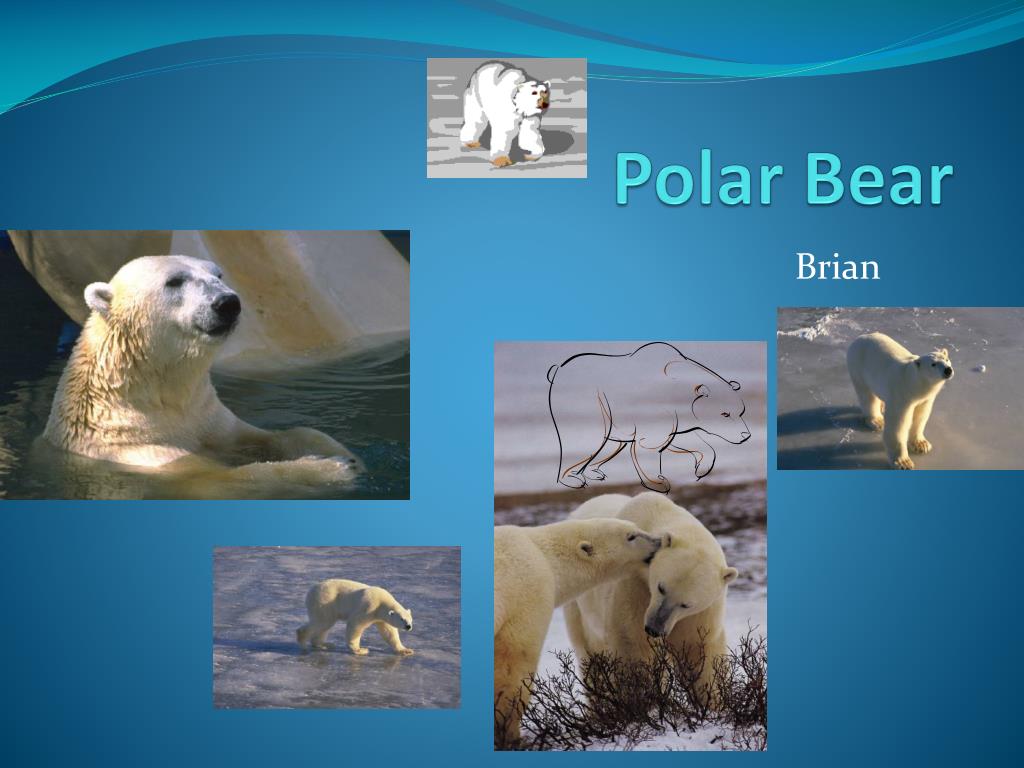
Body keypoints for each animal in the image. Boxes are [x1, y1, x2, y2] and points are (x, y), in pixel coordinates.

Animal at [42, 255, 362, 485]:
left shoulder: (208, 418)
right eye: (174, 281)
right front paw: (331, 468)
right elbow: (228, 478)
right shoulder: (136, 451)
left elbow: (270, 435)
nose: (227, 303)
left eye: (218, 274)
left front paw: (346, 454)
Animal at [493, 518, 663, 745]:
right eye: (631, 536)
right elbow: (511, 667)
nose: (659, 541)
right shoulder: (527, 598)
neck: (543, 553)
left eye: (635, 527)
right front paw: (511, 736)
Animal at [547, 342, 751, 492]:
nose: (746, 435)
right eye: (724, 413)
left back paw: (595, 472)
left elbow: (683, 440)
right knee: (591, 439)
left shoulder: (679, 420)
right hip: (595, 401)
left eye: (740, 411)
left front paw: (701, 469)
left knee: (611, 443)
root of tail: (558, 369)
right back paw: (573, 479)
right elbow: (650, 445)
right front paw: (659, 483)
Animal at [563, 492, 738, 706]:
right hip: (579, 606)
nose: (654, 628)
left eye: (686, 604)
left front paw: (712, 703)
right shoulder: (633, 583)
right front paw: (641, 701)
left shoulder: (703, 611)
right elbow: (634, 642)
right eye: (661, 587)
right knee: (591, 656)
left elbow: (697, 647)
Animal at [847, 332, 953, 469]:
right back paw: (877, 421)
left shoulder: (924, 399)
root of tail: (860, 337)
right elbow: (898, 425)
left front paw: (921, 444)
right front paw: (903, 462)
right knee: (867, 396)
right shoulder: (901, 395)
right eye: (933, 364)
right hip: (858, 367)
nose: (948, 370)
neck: (913, 383)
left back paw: (882, 406)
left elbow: (920, 416)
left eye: (946, 359)